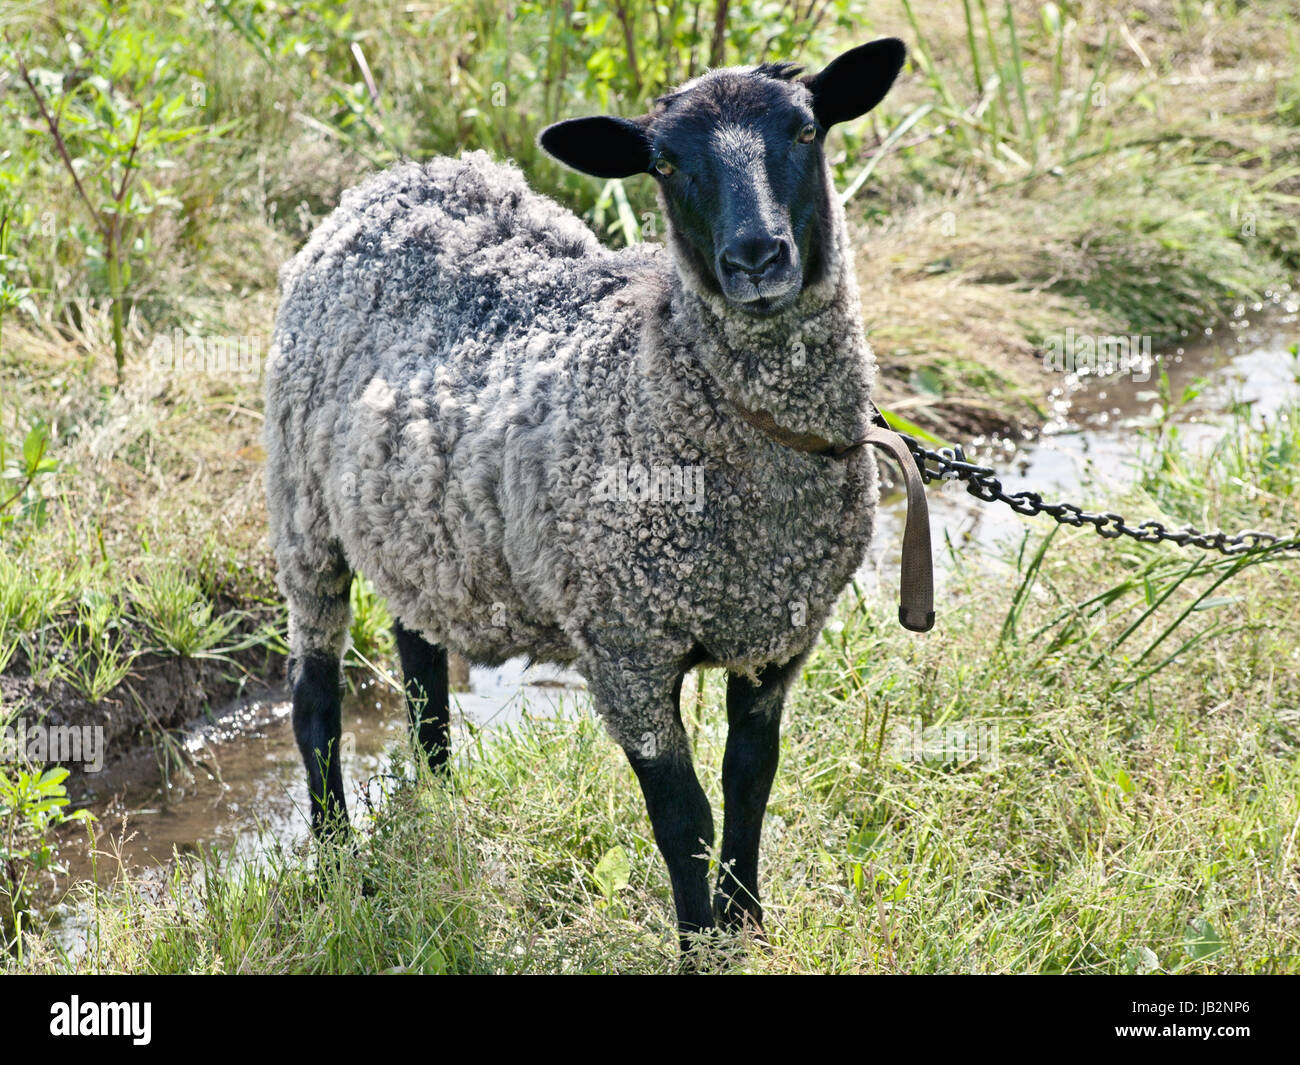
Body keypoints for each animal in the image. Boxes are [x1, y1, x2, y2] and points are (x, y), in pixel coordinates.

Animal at [265, 38, 908, 953]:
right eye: (665, 164)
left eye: (807, 130)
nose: (756, 258)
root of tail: (400, 179)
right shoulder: (625, 645)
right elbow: (684, 816)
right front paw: (699, 944)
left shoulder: (776, 635)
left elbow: (750, 781)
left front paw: (747, 925)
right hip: (303, 509)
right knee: (314, 697)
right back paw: (337, 862)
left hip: (415, 526)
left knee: (419, 653)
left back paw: (440, 800)